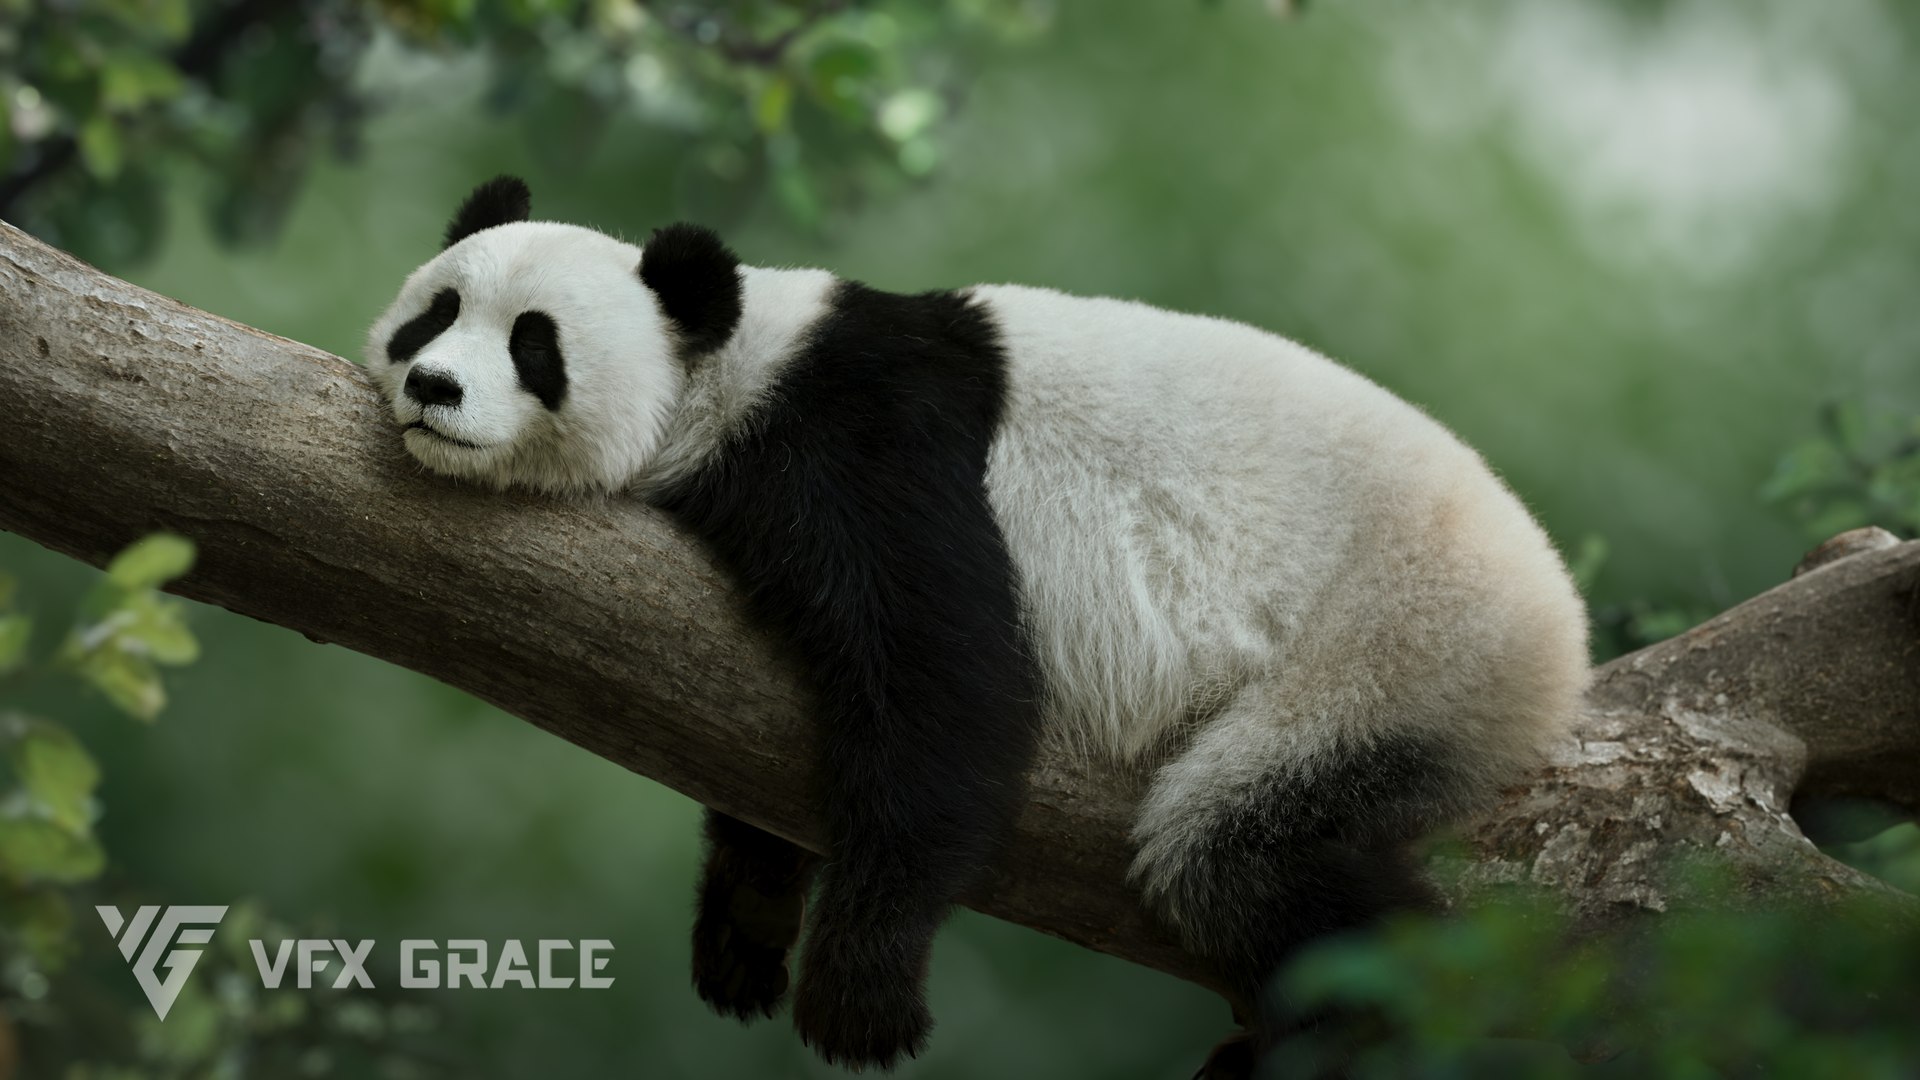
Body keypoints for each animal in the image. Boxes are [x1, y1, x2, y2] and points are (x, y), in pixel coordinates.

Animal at [366, 176, 1590, 1075]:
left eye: (533, 345)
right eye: (433, 314)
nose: (432, 387)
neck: (729, 368)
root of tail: (1564, 632)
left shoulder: (864, 433)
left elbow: (945, 676)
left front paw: (860, 990)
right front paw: (745, 925)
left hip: (1405, 640)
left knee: (1239, 850)